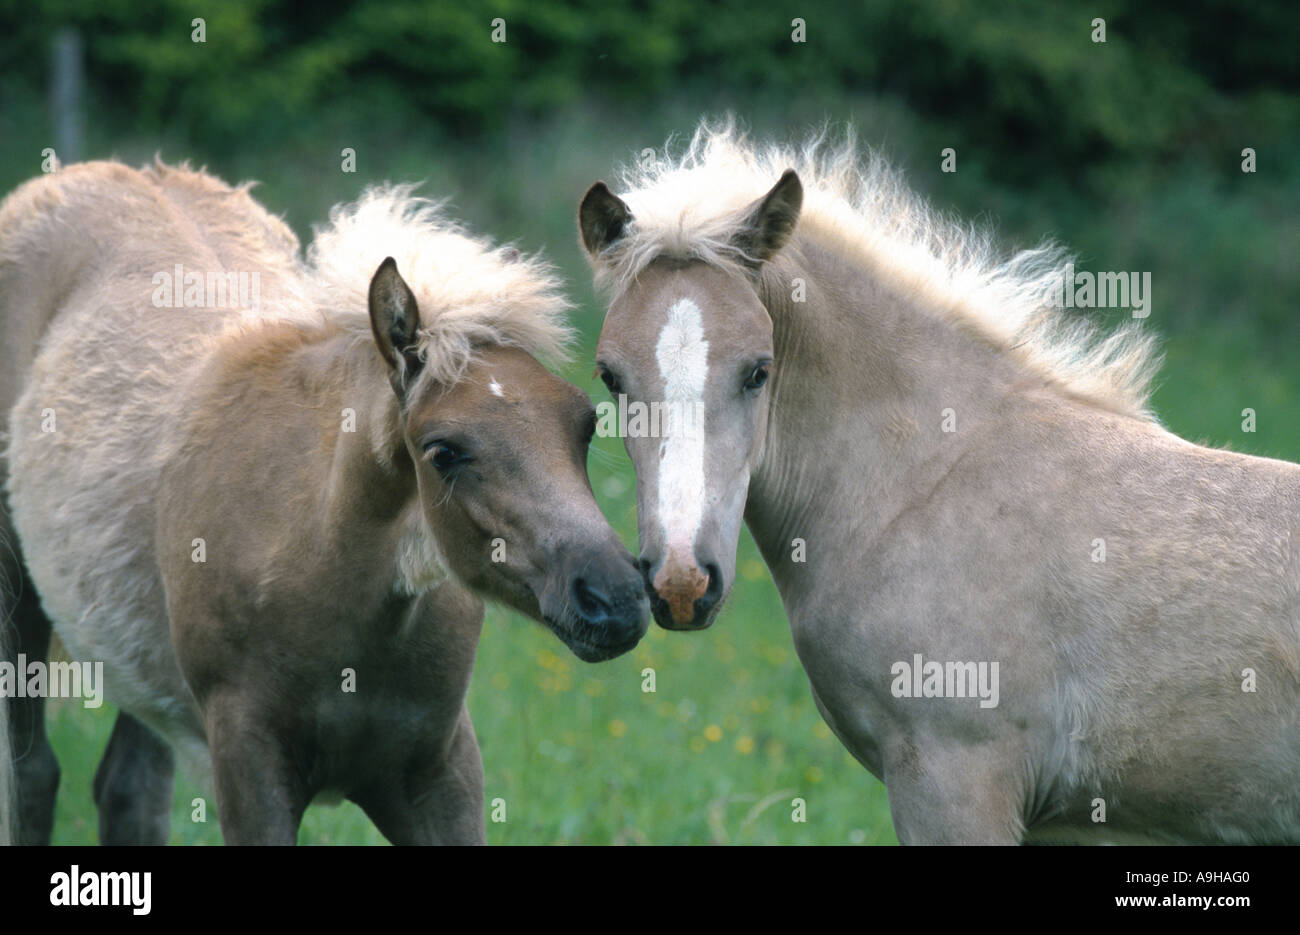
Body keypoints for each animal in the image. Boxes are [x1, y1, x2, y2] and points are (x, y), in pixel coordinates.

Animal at [0, 159, 647, 845]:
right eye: (443, 451)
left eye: (583, 423)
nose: (614, 597)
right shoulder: (249, 767)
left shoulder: (440, 772)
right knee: (35, 776)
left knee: (130, 789)